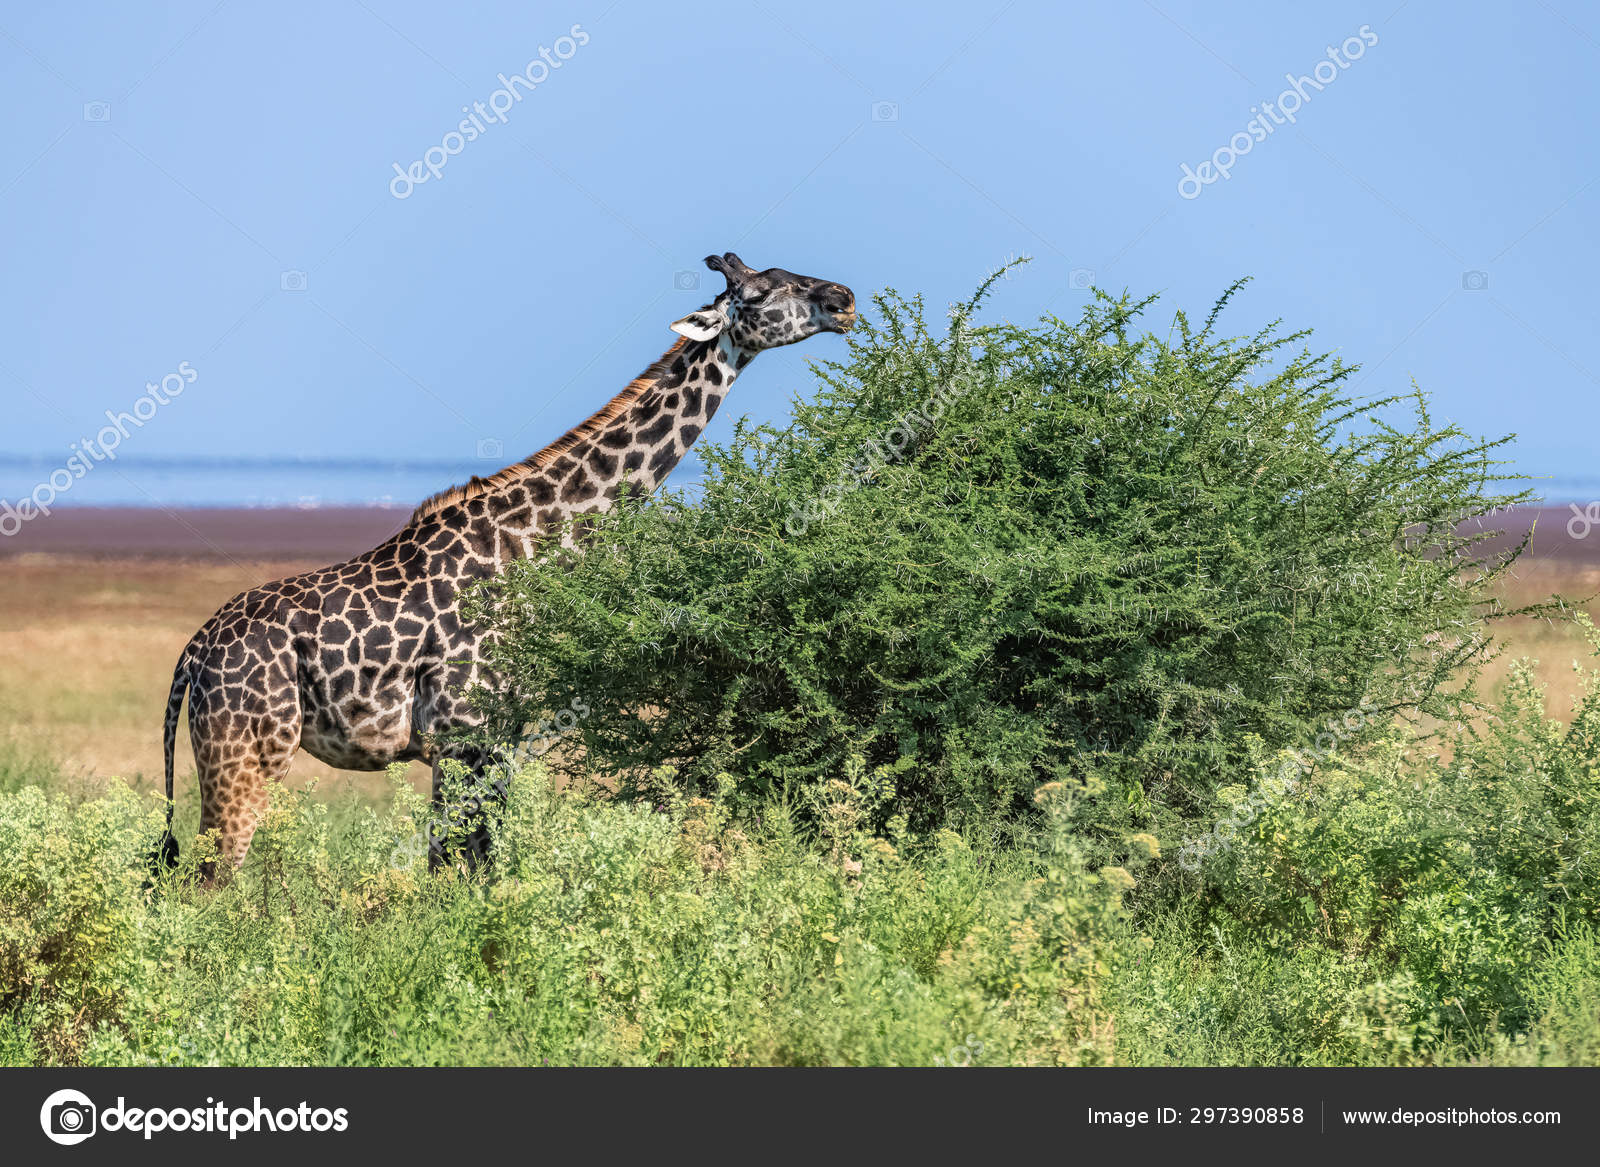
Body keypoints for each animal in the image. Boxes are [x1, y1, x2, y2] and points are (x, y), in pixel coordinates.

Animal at [156, 253, 855, 880]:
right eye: (762, 292)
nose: (843, 299)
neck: (537, 542)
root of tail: (193, 653)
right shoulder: (464, 735)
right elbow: (455, 870)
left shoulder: (498, 743)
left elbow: (474, 867)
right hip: (247, 751)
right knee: (209, 878)